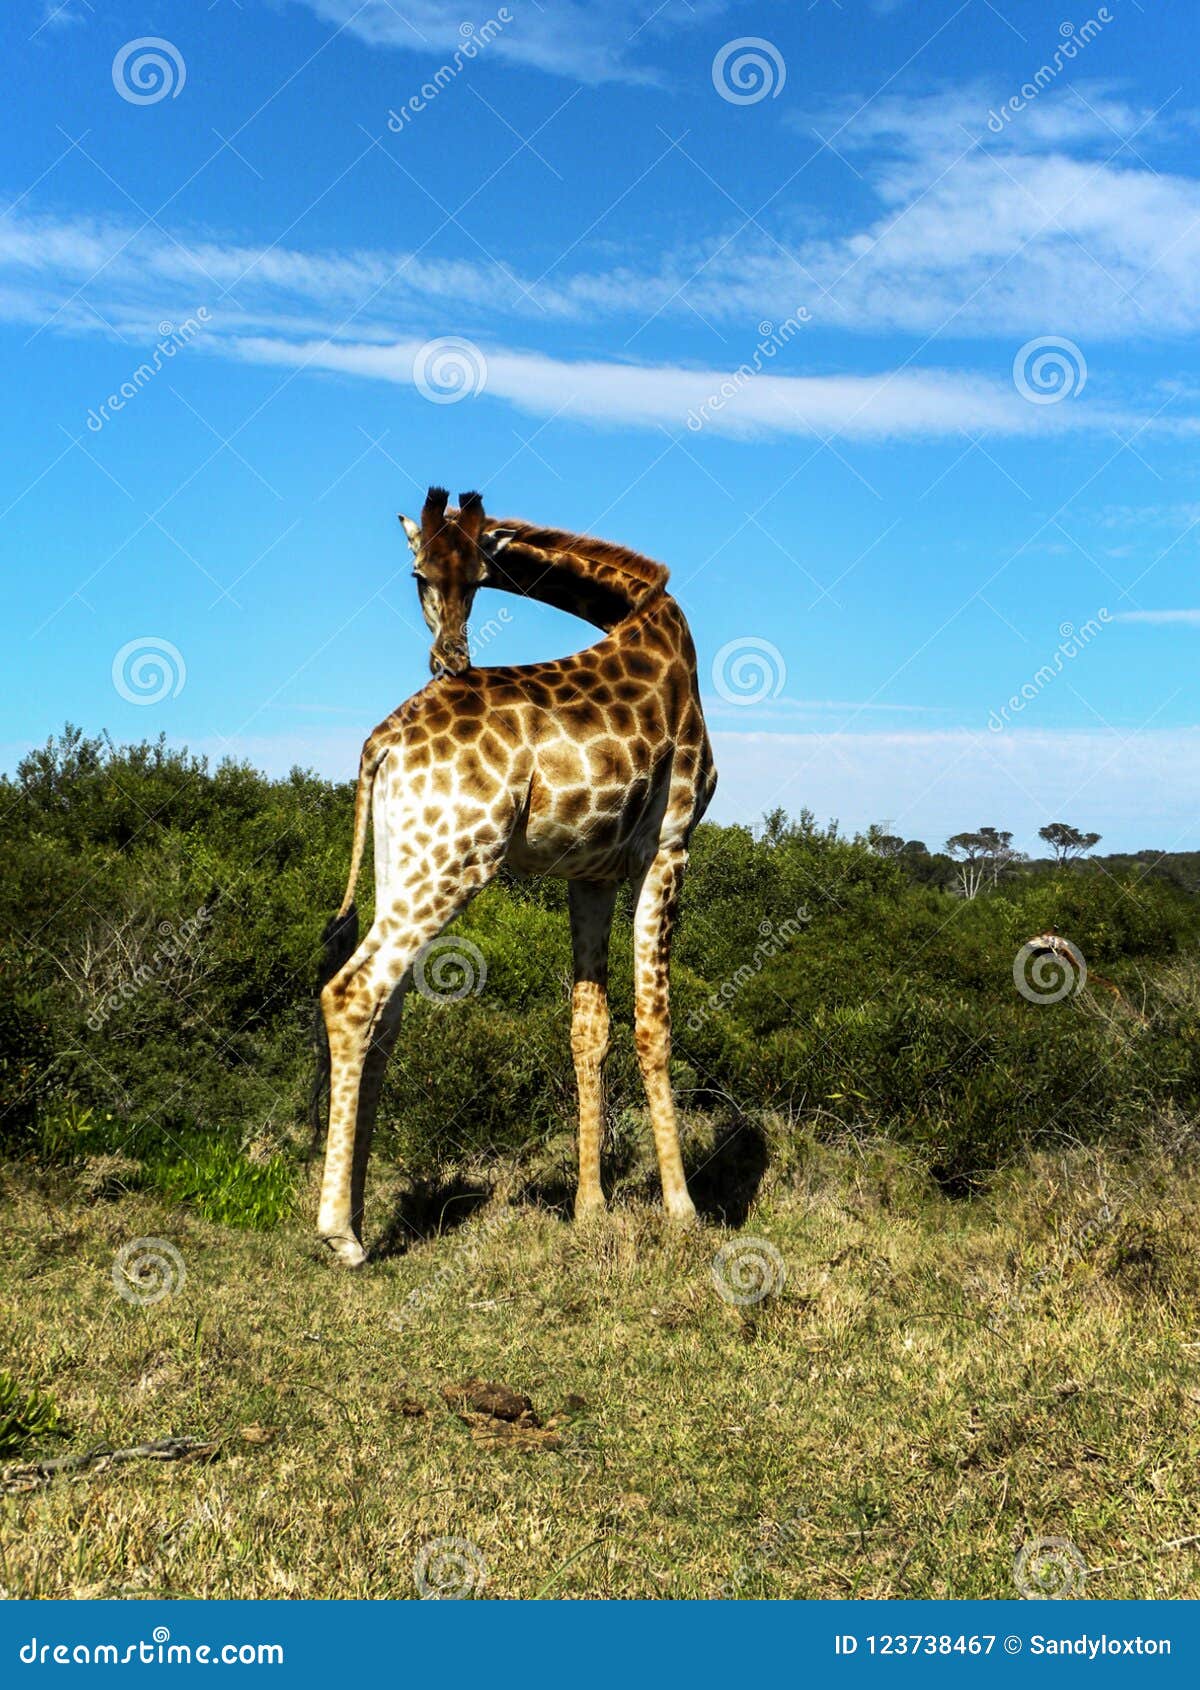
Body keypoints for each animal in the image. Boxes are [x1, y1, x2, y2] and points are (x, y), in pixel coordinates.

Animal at [312, 487, 717, 1266]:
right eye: (418, 576)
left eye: (477, 578)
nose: (449, 658)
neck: (641, 609)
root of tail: (380, 745)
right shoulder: (671, 842)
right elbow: (655, 1022)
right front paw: (684, 1211)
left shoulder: (592, 872)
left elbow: (589, 1027)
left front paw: (590, 1209)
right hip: (456, 857)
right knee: (352, 992)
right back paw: (338, 1235)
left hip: (403, 861)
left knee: (384, 1016)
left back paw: (362, 1218)